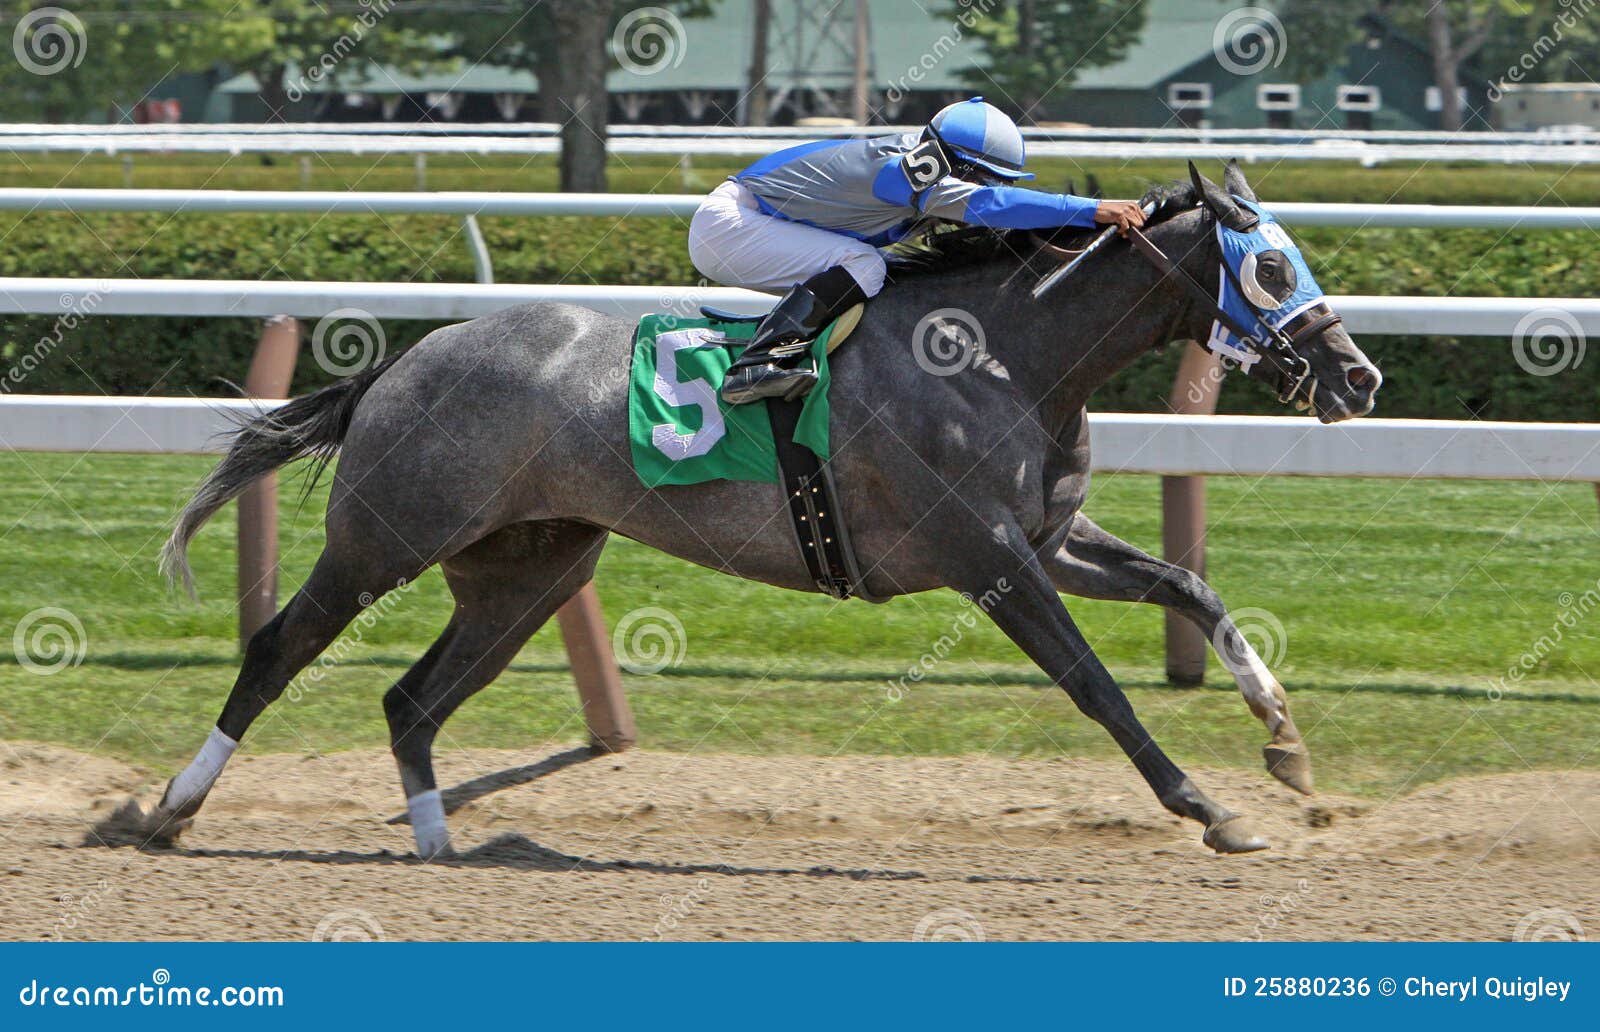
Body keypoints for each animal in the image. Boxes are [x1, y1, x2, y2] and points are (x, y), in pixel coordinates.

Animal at [142, 161, 1380, 859]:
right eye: (1270, 268)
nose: (1359, 377)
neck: (1005, 355)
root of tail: (401, 362)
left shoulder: (1047, 539)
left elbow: (1189, 584)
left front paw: (1285, 744)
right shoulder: (984, 557)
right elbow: (1095, 685)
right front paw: (1210, 809)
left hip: (529, 569)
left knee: (412, 699)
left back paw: (439, 843)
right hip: (386, 536)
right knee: (279, 648)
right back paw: (172, 810)